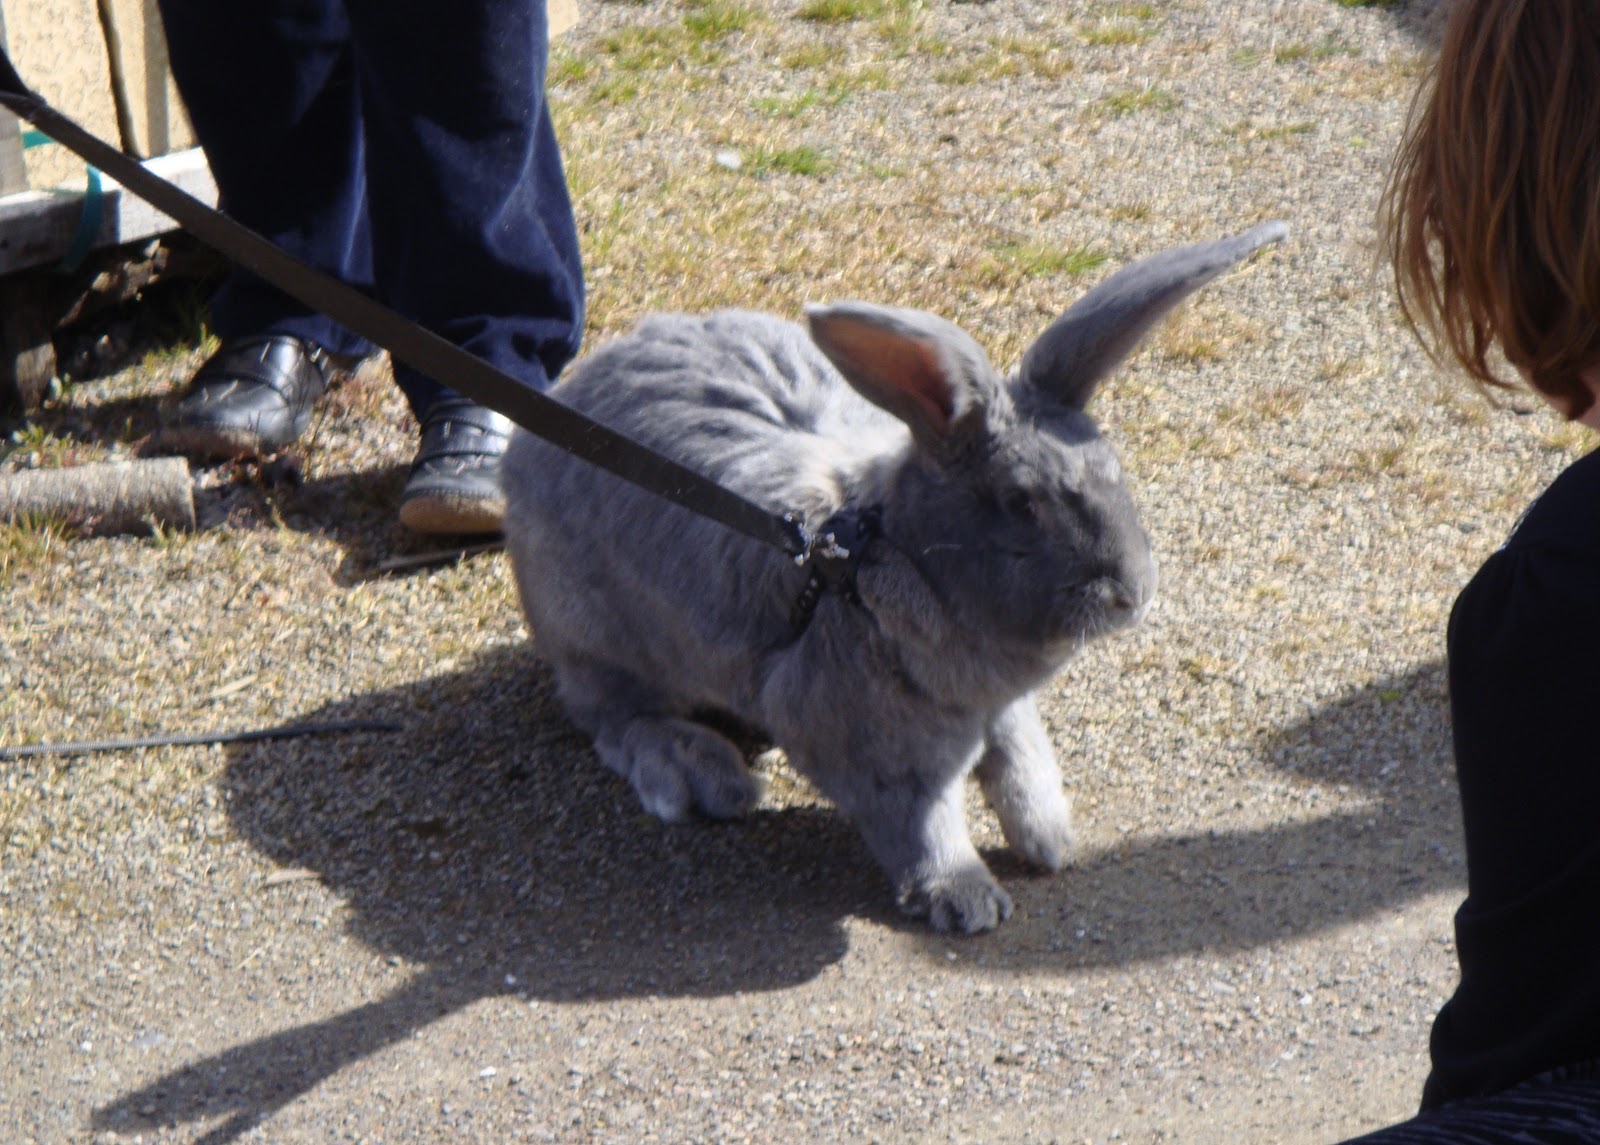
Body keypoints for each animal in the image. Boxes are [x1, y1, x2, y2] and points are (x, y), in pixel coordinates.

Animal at [502, 221, 1286, 934]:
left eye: (1114, 470)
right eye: (1021, 503)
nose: (1133, 593)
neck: (885, 554)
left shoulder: (1001, 708)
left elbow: (1022, 758)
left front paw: (1052, 840)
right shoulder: (877, 749)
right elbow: (921, 823)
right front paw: (967, 900)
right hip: (596, 640)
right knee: (614, 718)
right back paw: (703, 775)